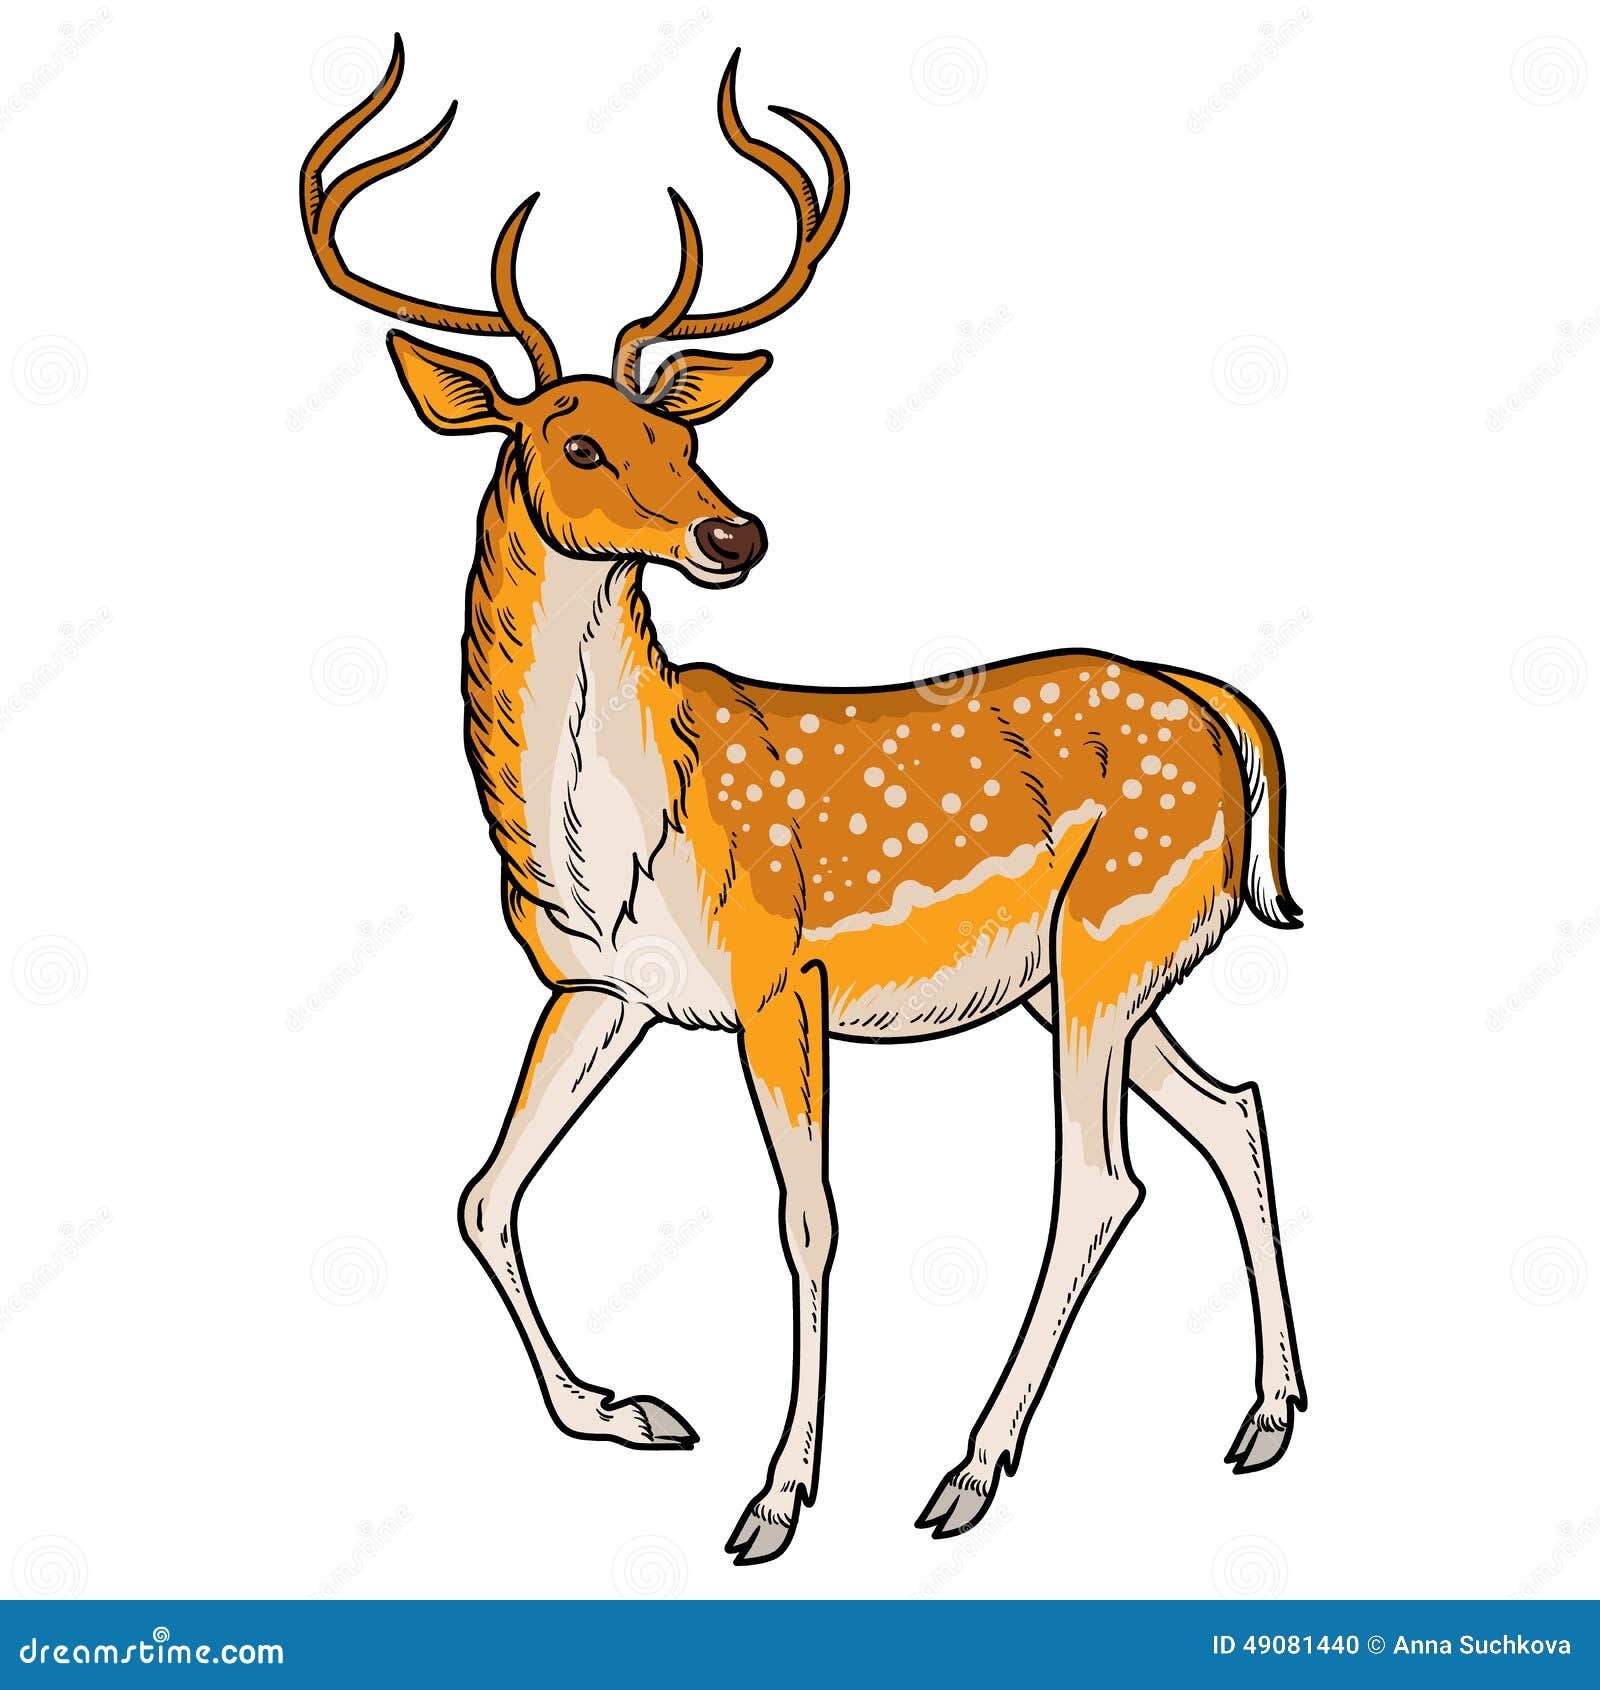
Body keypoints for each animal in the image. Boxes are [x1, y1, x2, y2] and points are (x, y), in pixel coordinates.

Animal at [300, 37, 1307, 1567]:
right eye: (576, 443)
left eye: (679, 427)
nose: (736, 531)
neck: (616, 840)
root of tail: (1220, 710)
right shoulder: (599, 988)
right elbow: (482, 1191)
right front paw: (629, 1411)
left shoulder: (779, 970)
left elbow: (808, 1216)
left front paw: (775, 1498)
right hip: (1094, 969)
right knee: (1233, 1109)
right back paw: (1267, 1415)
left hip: (1111, 936)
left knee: (1100, 1180)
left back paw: (967, 1471)